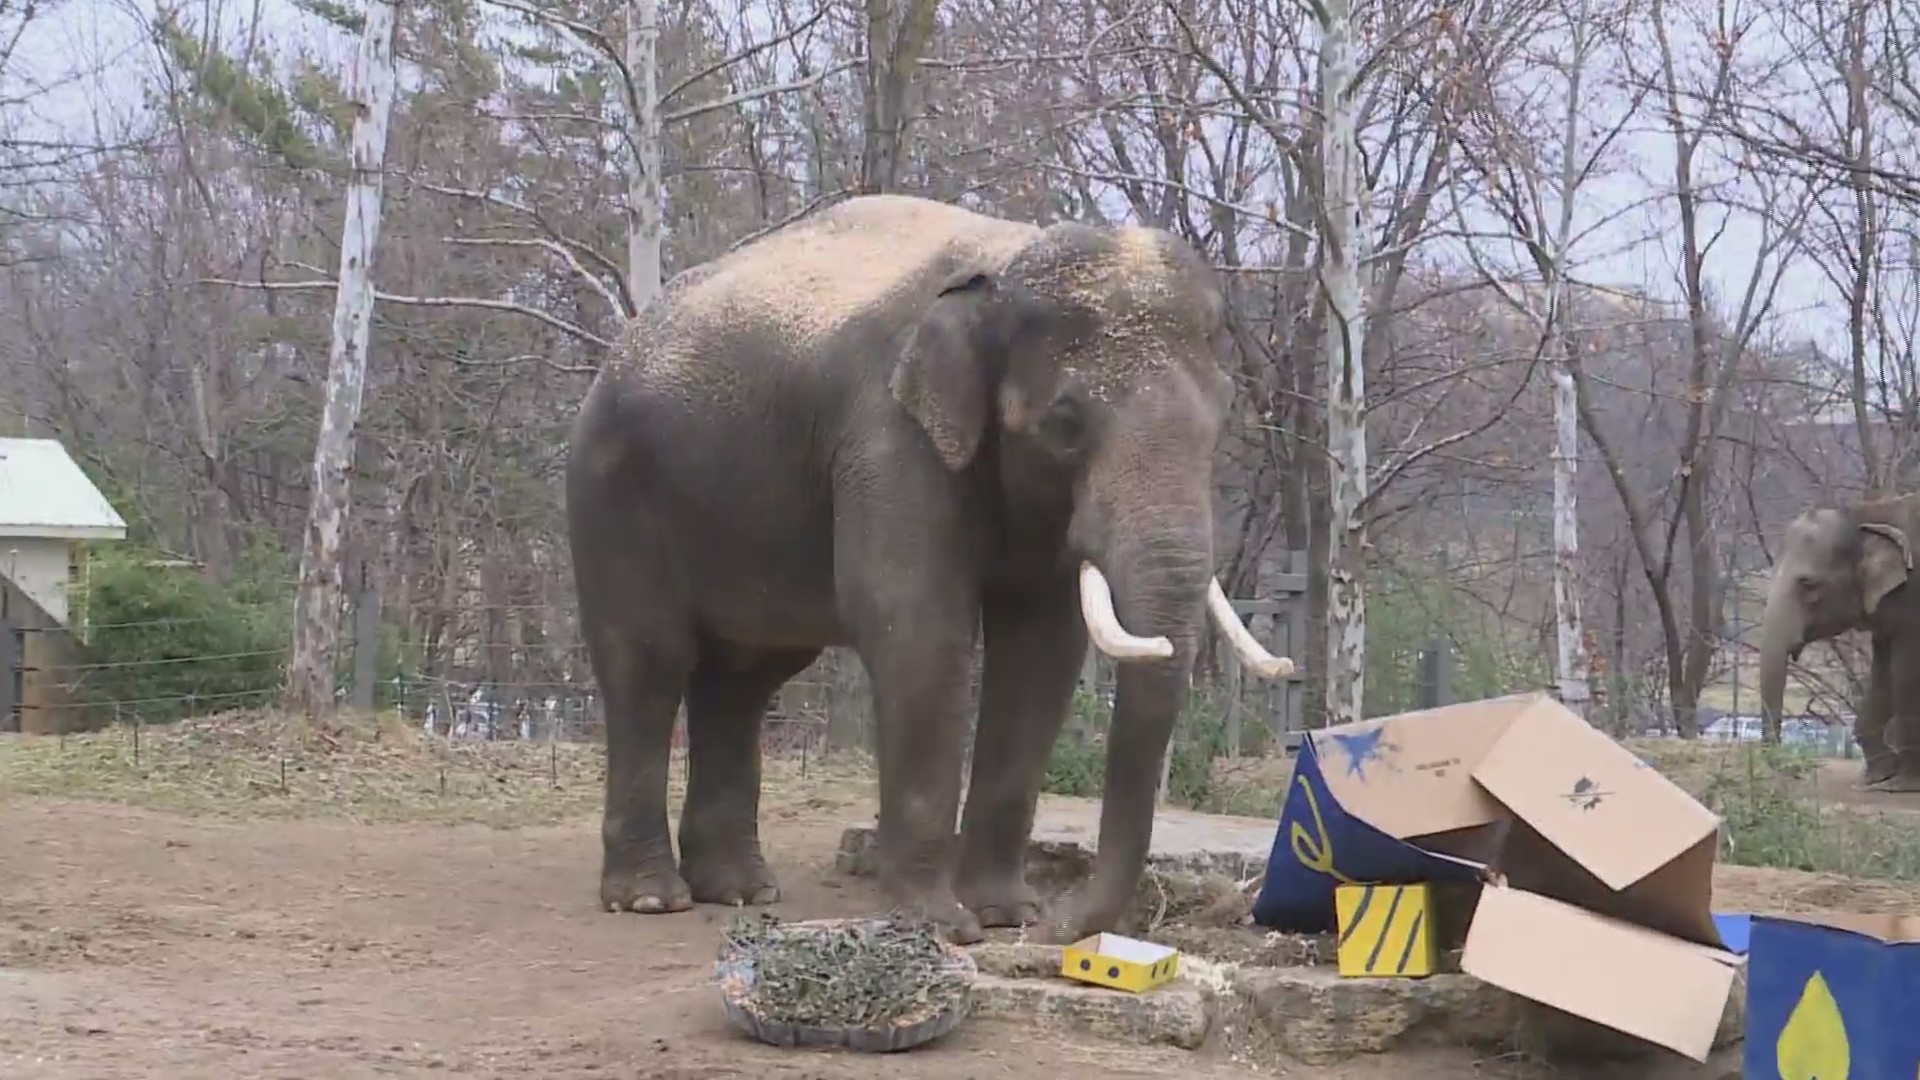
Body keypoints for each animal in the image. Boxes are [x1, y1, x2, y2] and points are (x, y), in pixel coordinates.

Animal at [562, 193, 1292, 944]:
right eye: (1064, 422)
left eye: (1222, 417)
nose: (1055, 928)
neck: (1004, 263)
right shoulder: (885, 433)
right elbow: (915, 625)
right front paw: (942, 925)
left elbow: (1041, 650)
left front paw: (1002, 914)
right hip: (610, 489)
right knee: (648, 660)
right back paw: (652, 899)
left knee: (744, 678)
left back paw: (739, 891)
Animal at [1758, 493, 1920, 790]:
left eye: (1807, 583)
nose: (1790, 770)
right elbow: (1883, 675)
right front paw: (1878, 776)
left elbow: (1907, 675)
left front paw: (1903, 785)